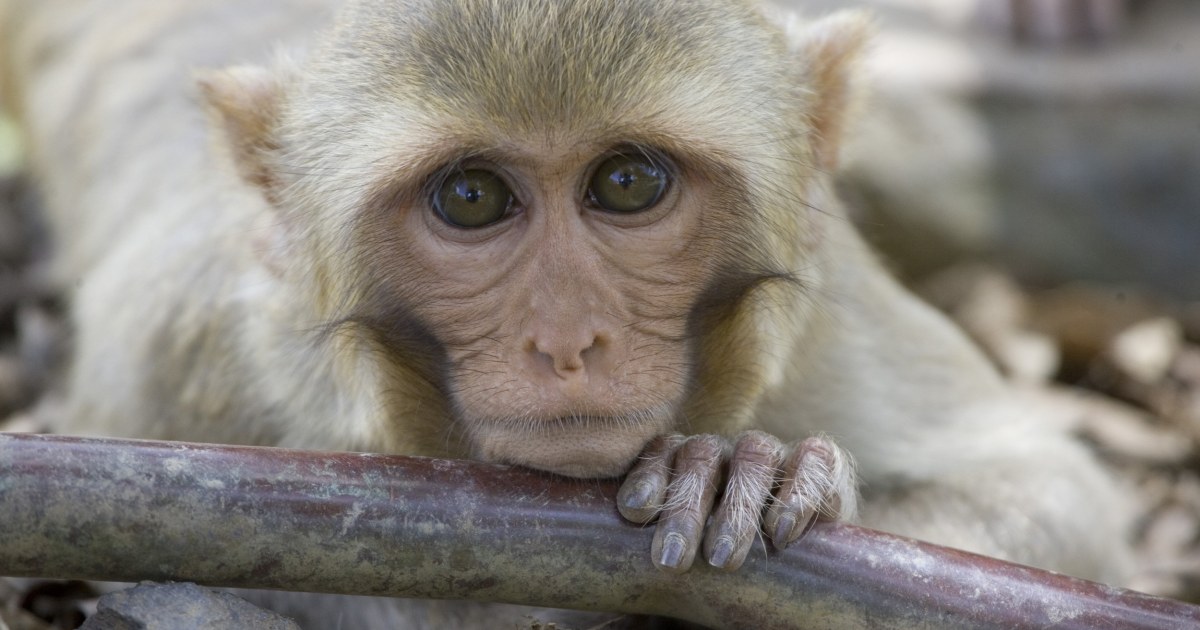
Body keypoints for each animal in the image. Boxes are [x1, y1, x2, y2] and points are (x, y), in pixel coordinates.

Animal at [1, 0, 1132, 627]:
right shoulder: (183, 356)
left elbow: (1047, 493)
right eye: (470, 198)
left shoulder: (829, 310)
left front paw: (741, 473)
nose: (566, 341)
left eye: (627, 183)